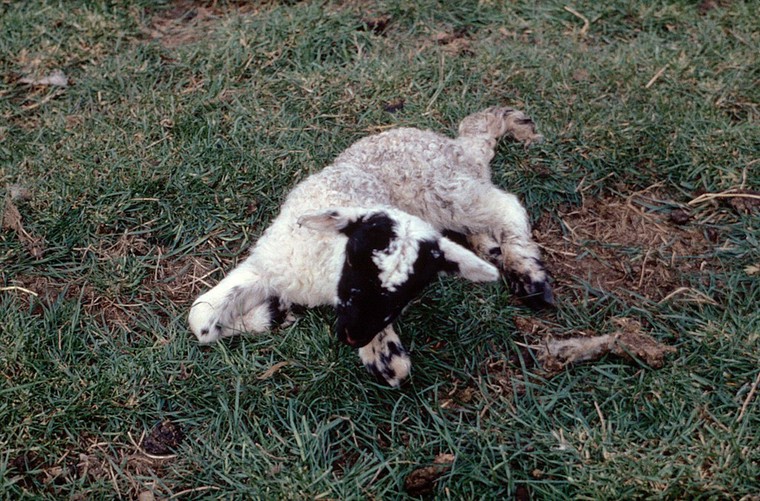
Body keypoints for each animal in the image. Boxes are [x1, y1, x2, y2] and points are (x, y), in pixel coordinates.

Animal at [188, 106, 552, 386]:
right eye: (356, 269)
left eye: (404, 297)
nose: (353, 336)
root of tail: (458, 146)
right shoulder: (270, 264)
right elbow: (200, 317)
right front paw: (274, 313)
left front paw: (386, 358)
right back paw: (493, 250)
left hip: (450, 192)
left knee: (505, 206)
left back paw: (528, 275)